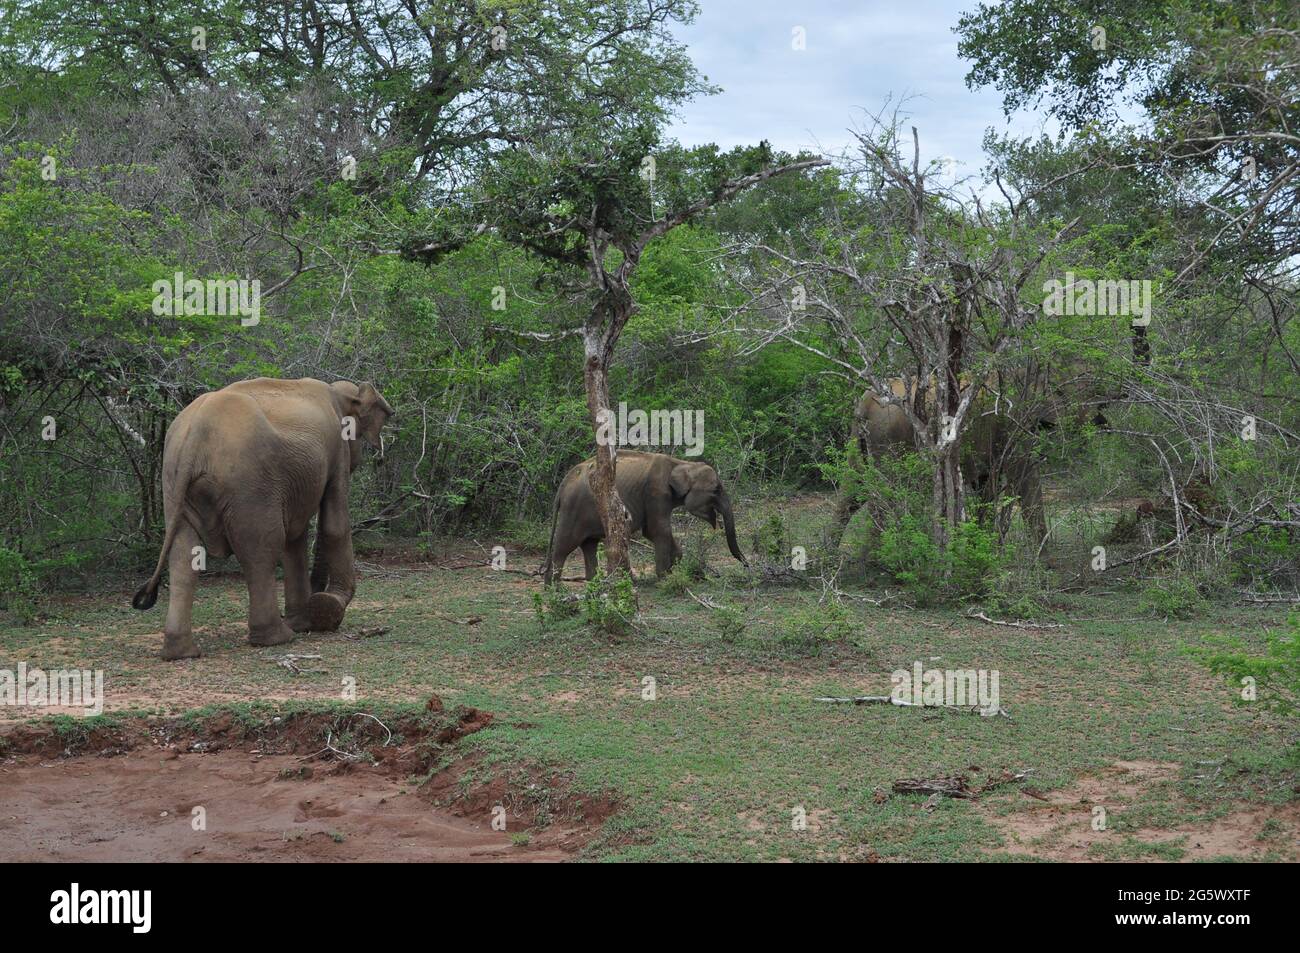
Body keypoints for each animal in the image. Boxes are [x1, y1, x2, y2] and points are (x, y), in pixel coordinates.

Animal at [132, 377, 394, 659]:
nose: (318, 596)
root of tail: (194, 435)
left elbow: (296, 538)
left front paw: (304, 621)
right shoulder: (337, 451)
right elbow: (333, 524)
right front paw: (323, 610)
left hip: (173, 481)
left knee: (184, 554)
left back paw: (181, 652)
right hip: (250, 484)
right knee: (262, 548)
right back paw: (277, 638)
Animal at [542, 450, 748, 584]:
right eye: (716, 490)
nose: (747, 565)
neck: (681, 463)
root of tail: (564, 481)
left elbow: (653, 532)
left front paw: (674, 567)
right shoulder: (656, 492)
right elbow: (658, 530)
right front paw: (665, 578)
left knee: (589, 544)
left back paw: (596, 583)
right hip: (573, 510)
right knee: (564, 546)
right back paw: (553, 587)